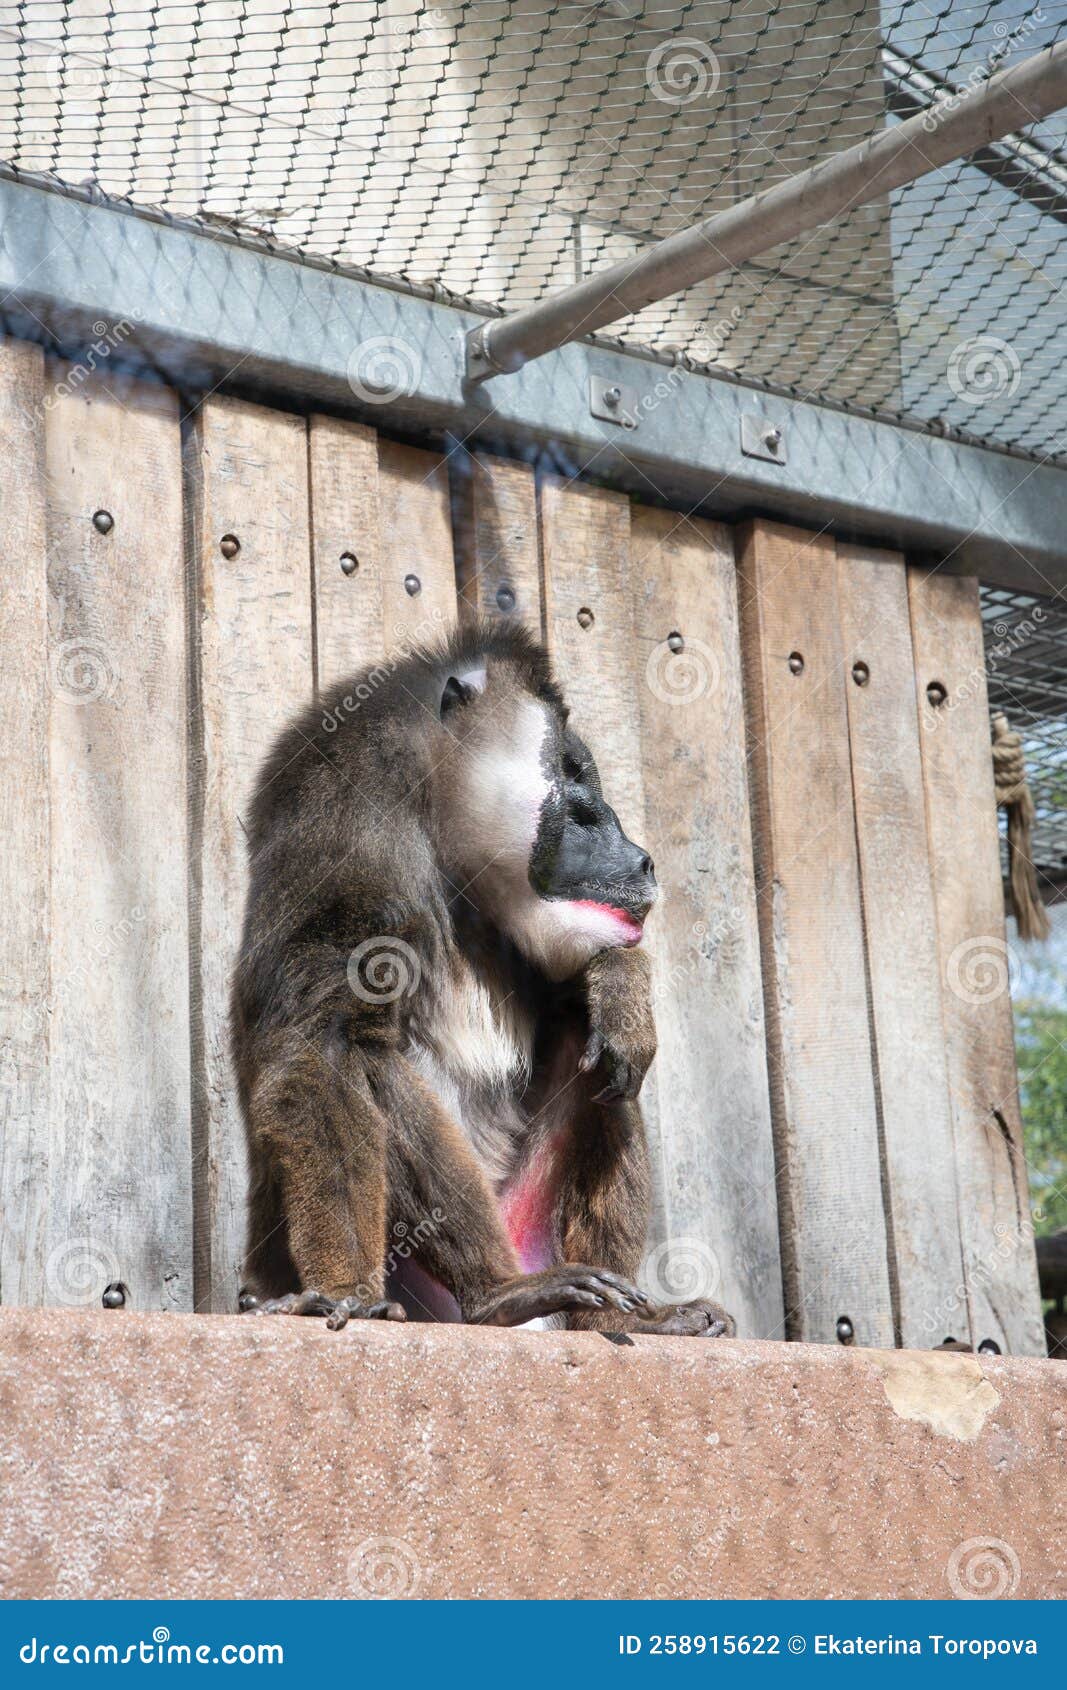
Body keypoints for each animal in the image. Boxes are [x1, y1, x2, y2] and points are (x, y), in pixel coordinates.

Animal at [231, 620, 735, 1339]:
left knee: (603, 1061)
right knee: (371, 1060)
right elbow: (319, 1045)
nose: (640, 860)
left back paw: (634, 1317)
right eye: (576, 787)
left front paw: (622, 985)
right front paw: (341, 1292)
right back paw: (497, 1295)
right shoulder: (354, 835)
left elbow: (580, 994)